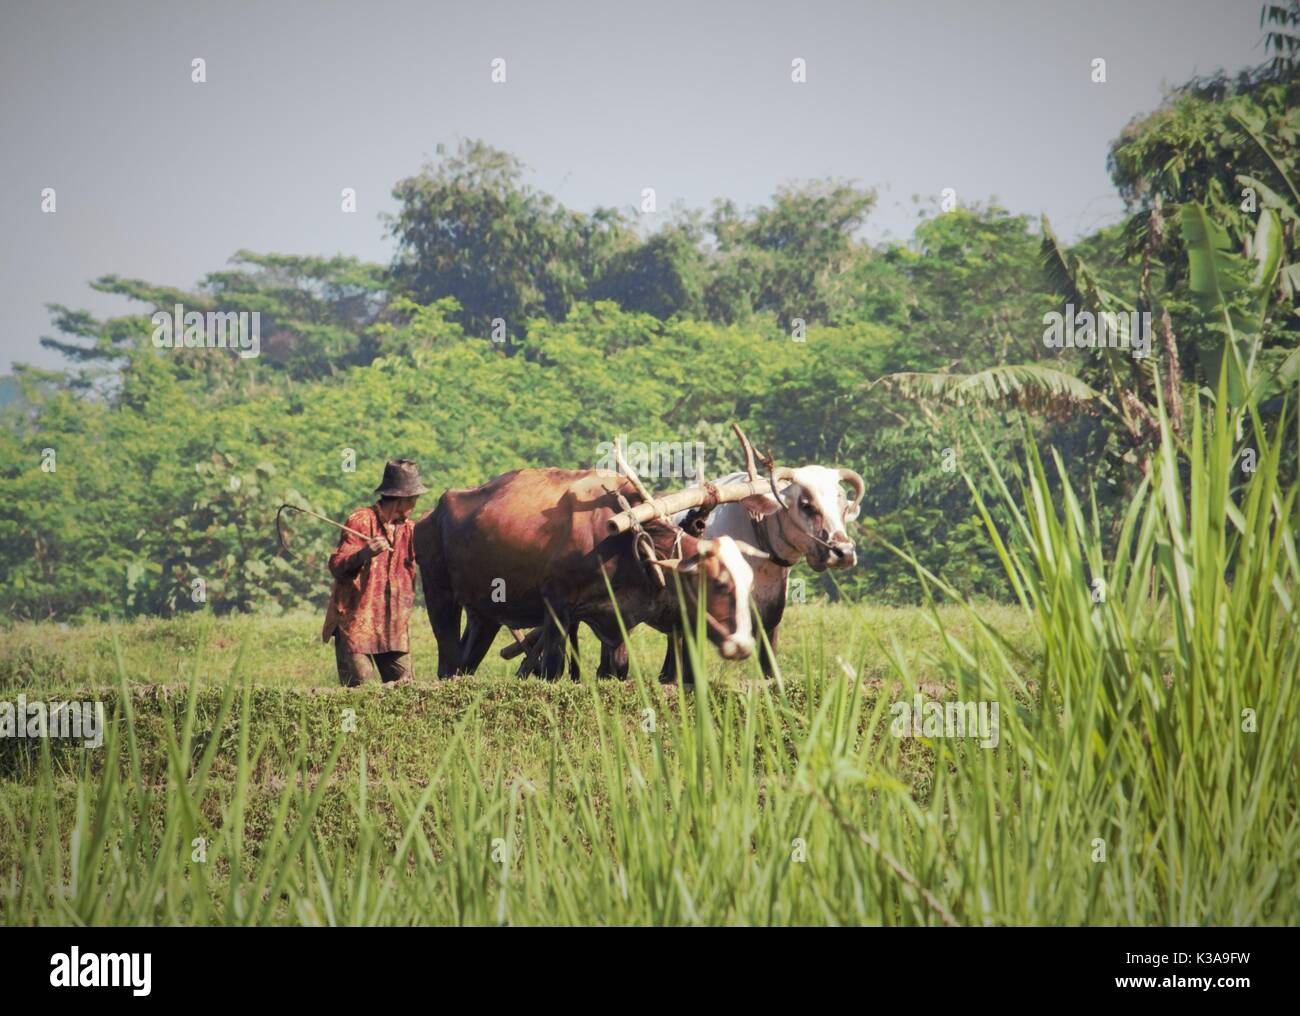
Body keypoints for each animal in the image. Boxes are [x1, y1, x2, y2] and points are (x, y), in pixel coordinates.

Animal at [413, 467, 766, 680]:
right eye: (719, 584)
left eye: (748, 583)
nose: (742, 644)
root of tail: (430, 514)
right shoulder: (556, 607)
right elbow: (553, 669)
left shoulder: (618, 619)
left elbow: (616, 669)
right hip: (438, 593)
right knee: (447, 657)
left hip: (484, 615)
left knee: (465, 661)